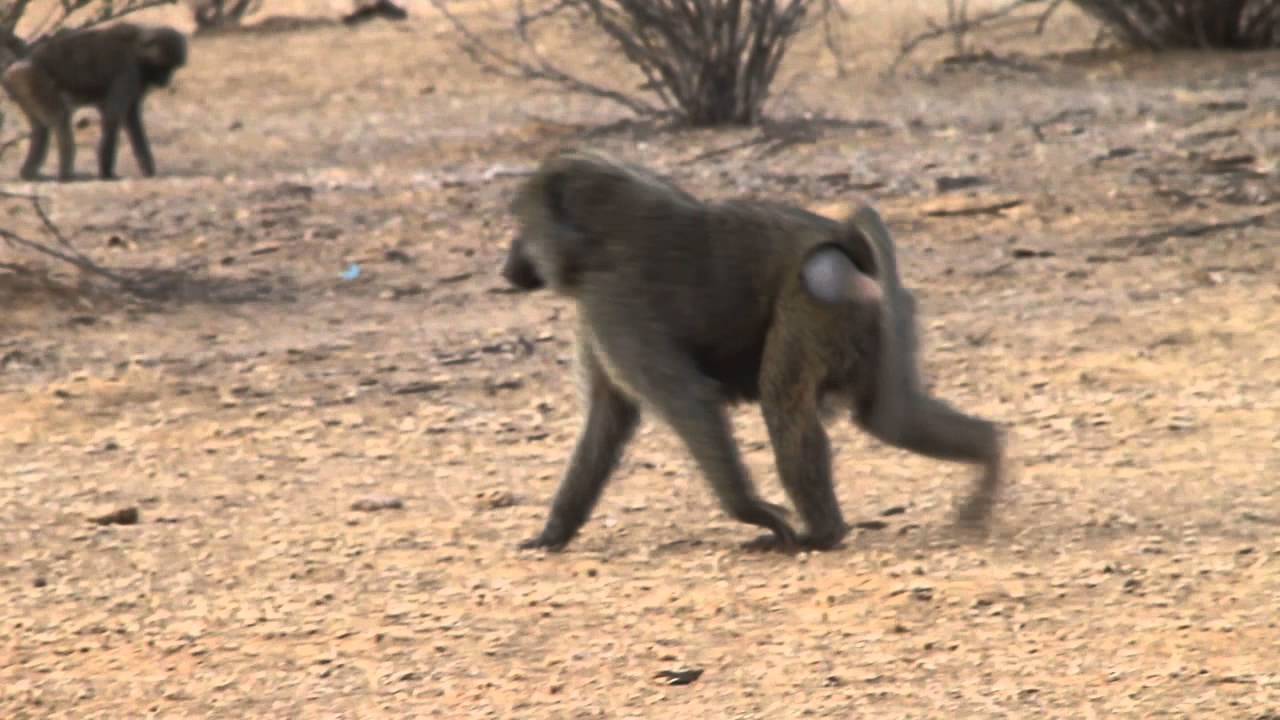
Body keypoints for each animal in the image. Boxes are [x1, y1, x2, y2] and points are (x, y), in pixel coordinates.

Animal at [0, 23, 187, 181]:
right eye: (164, 67)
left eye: (172, 68)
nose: (166, 80)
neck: (137, 50)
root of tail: (13, 68)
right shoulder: (128, 71)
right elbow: (113, 117)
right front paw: (107, 174)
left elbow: (132, 119)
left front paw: (148, 169)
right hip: (30, 78)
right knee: (60, 118)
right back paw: (66, 176)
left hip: (22, 86)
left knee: (41, 128)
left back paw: (29, 173)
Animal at [502, 148, 1005, 552]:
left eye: (522, 225)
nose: (508, 265)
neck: (598, 233)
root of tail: (842, 239)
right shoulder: (597, 312)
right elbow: (607, 417)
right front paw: (553, 533)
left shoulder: (611, 301)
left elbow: (687, 401)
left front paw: (754, 512)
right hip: (881, 316)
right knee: (892, 418)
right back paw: (990, 456)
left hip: (815, 304)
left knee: (785, 404)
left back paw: (822, 535)